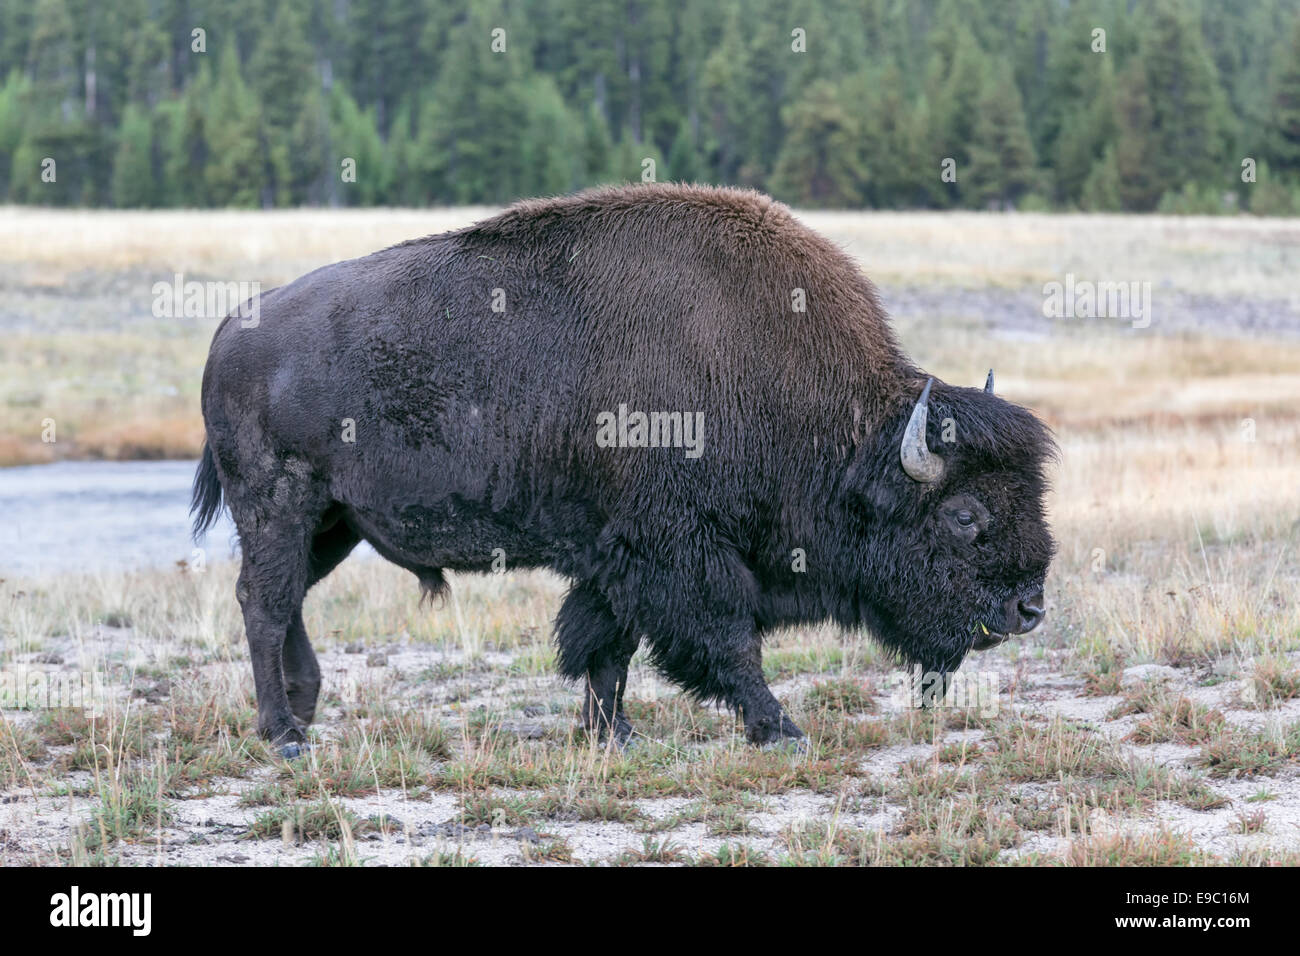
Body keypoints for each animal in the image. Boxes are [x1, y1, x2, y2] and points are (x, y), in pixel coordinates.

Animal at [192, 184, 1055, 757]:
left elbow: (605, 648)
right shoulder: (678, 553)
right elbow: (723, 642)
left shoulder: (616, 557)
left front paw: (615, 734)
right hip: (277, 505)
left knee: (288, 600)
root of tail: (230, 329)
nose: (1029, 608)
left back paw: (305, 710)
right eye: (964, 516)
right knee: (264, 603)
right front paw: (780, 729)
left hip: (333, 523)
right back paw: (283, 735)